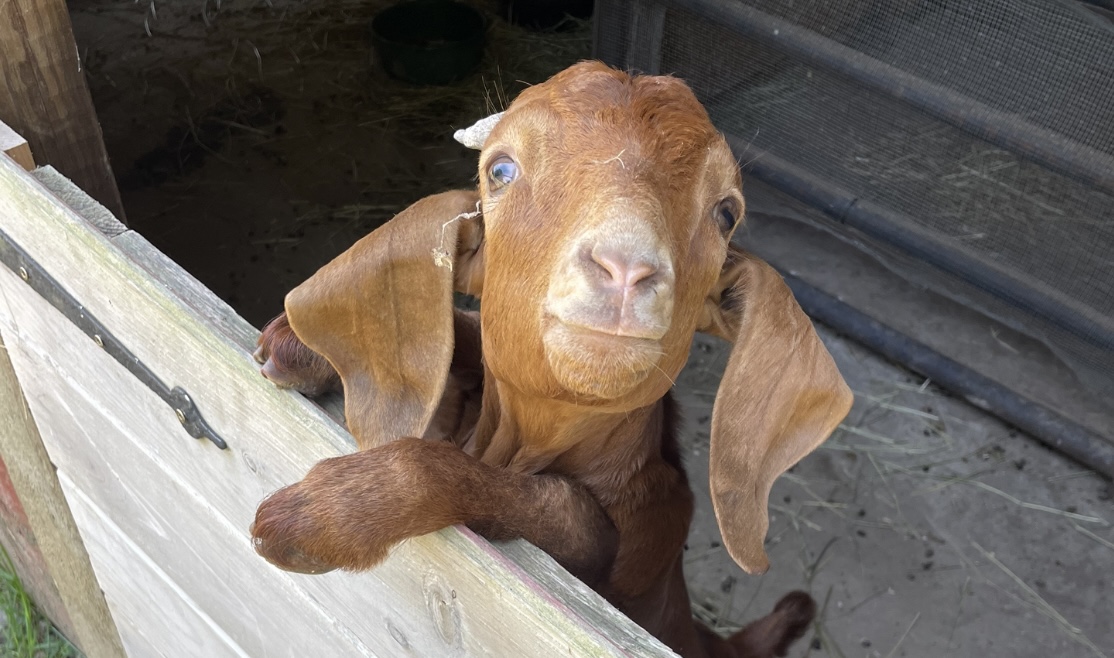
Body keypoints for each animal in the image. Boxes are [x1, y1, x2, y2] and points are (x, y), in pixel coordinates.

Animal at [250, 61, 853, 657]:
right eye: (501, 169)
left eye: (726, 212)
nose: (626, 267)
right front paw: (299, 344)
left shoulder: (621, 564)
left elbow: (566, 508)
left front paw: (326, 515)